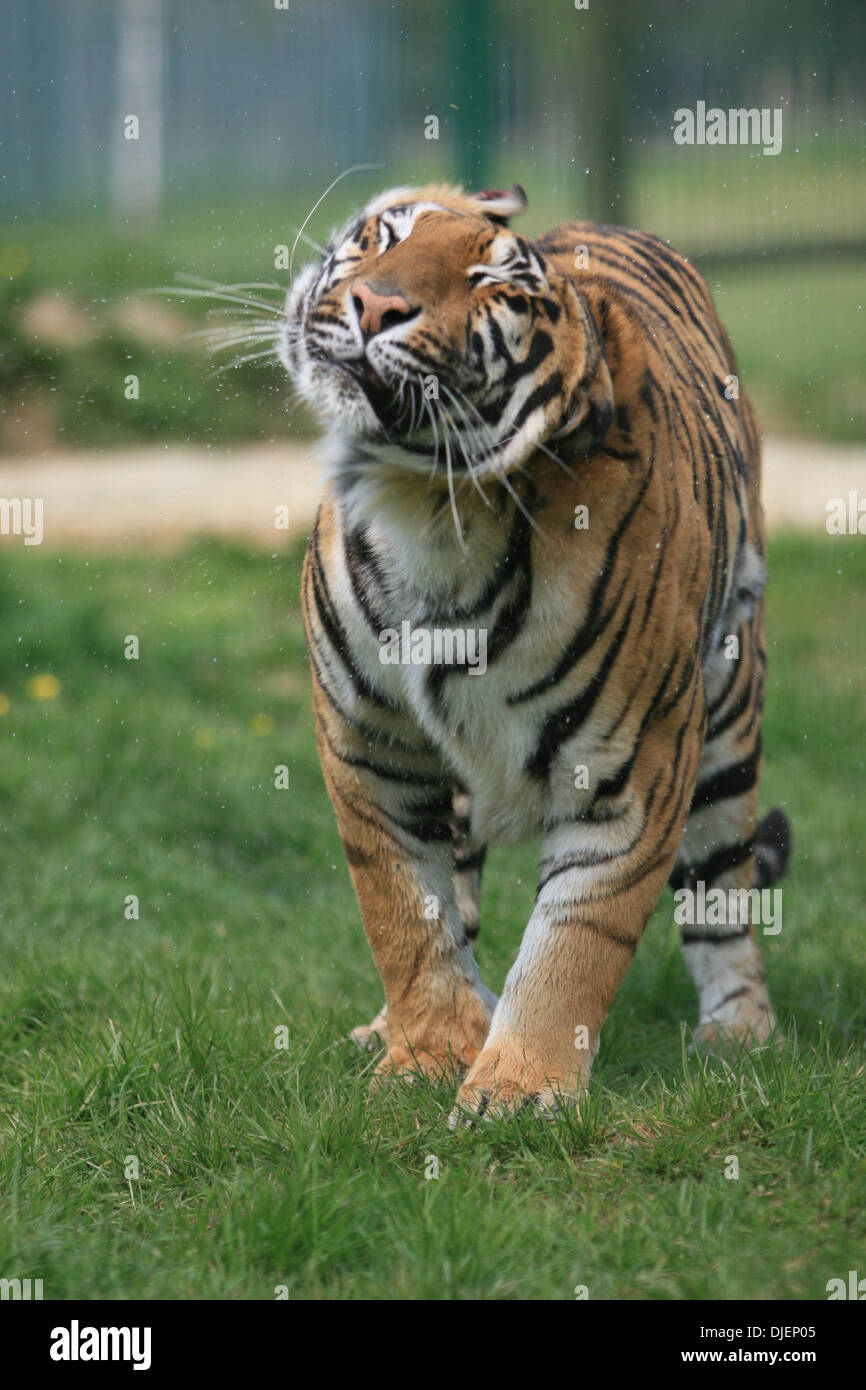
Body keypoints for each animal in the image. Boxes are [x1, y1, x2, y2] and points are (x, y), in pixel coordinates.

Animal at [278, 180, 791, 1121]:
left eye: (489, 284)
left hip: (730, 720)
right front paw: (427, 1053)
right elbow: (405, 912)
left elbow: (574, 945)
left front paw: (518, 1093)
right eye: (385, 236)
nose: (373, 304)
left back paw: (740, 1034)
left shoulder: (634, 776)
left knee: (723, 901)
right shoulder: (370, 744)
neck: (427, 504)